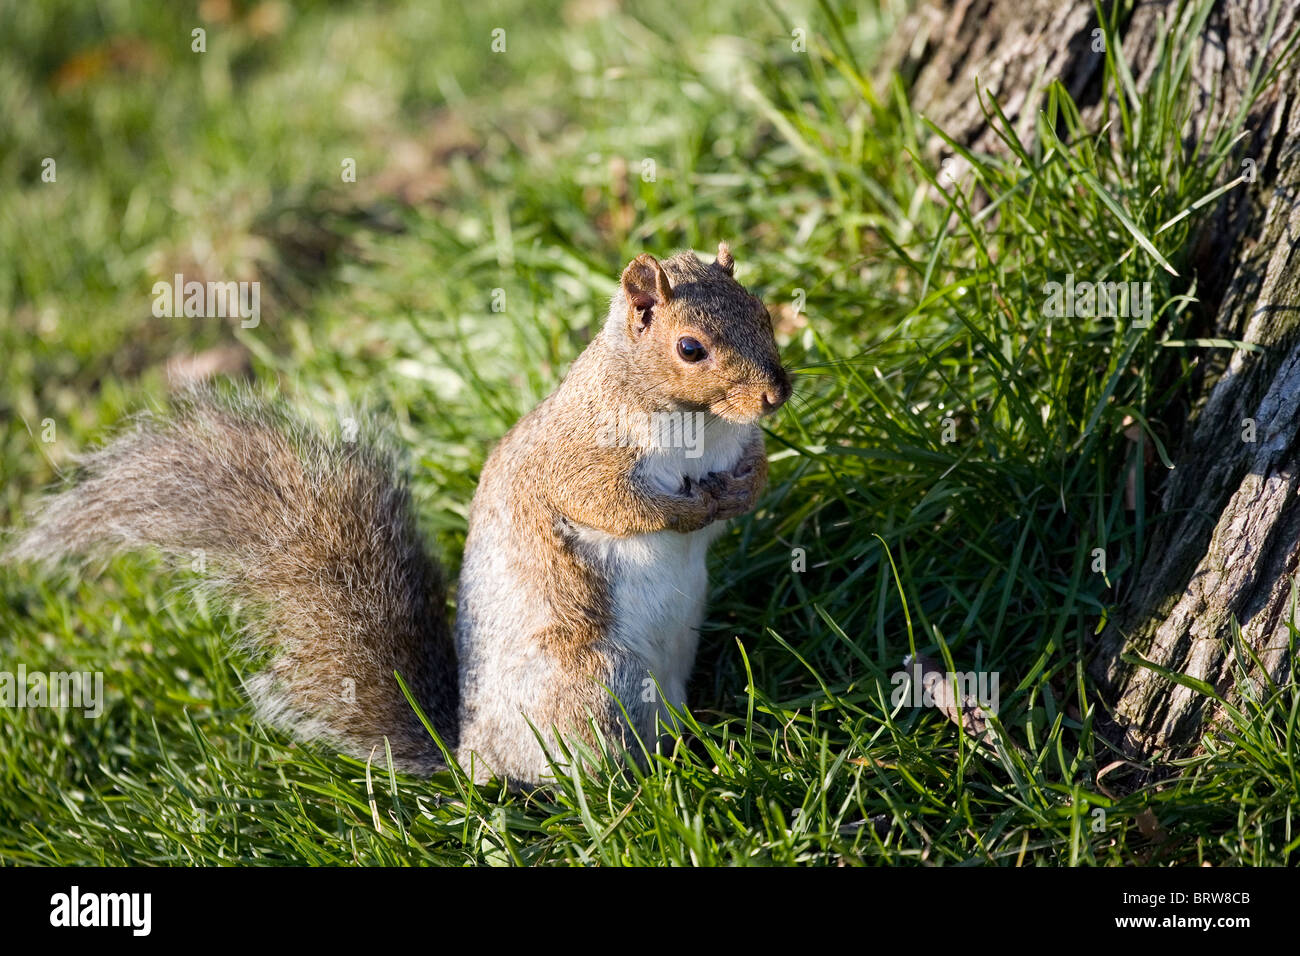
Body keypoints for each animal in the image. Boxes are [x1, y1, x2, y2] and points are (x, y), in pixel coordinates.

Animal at [7, 242, 791, 786]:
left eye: (762, 313)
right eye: (689, 348)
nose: (777, 395)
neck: (699, 424)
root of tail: (472, 755)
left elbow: (752, 469)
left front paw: (740, 490)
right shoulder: (577, 456)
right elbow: (614, 503)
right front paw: (690, 509)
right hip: (590, 683)